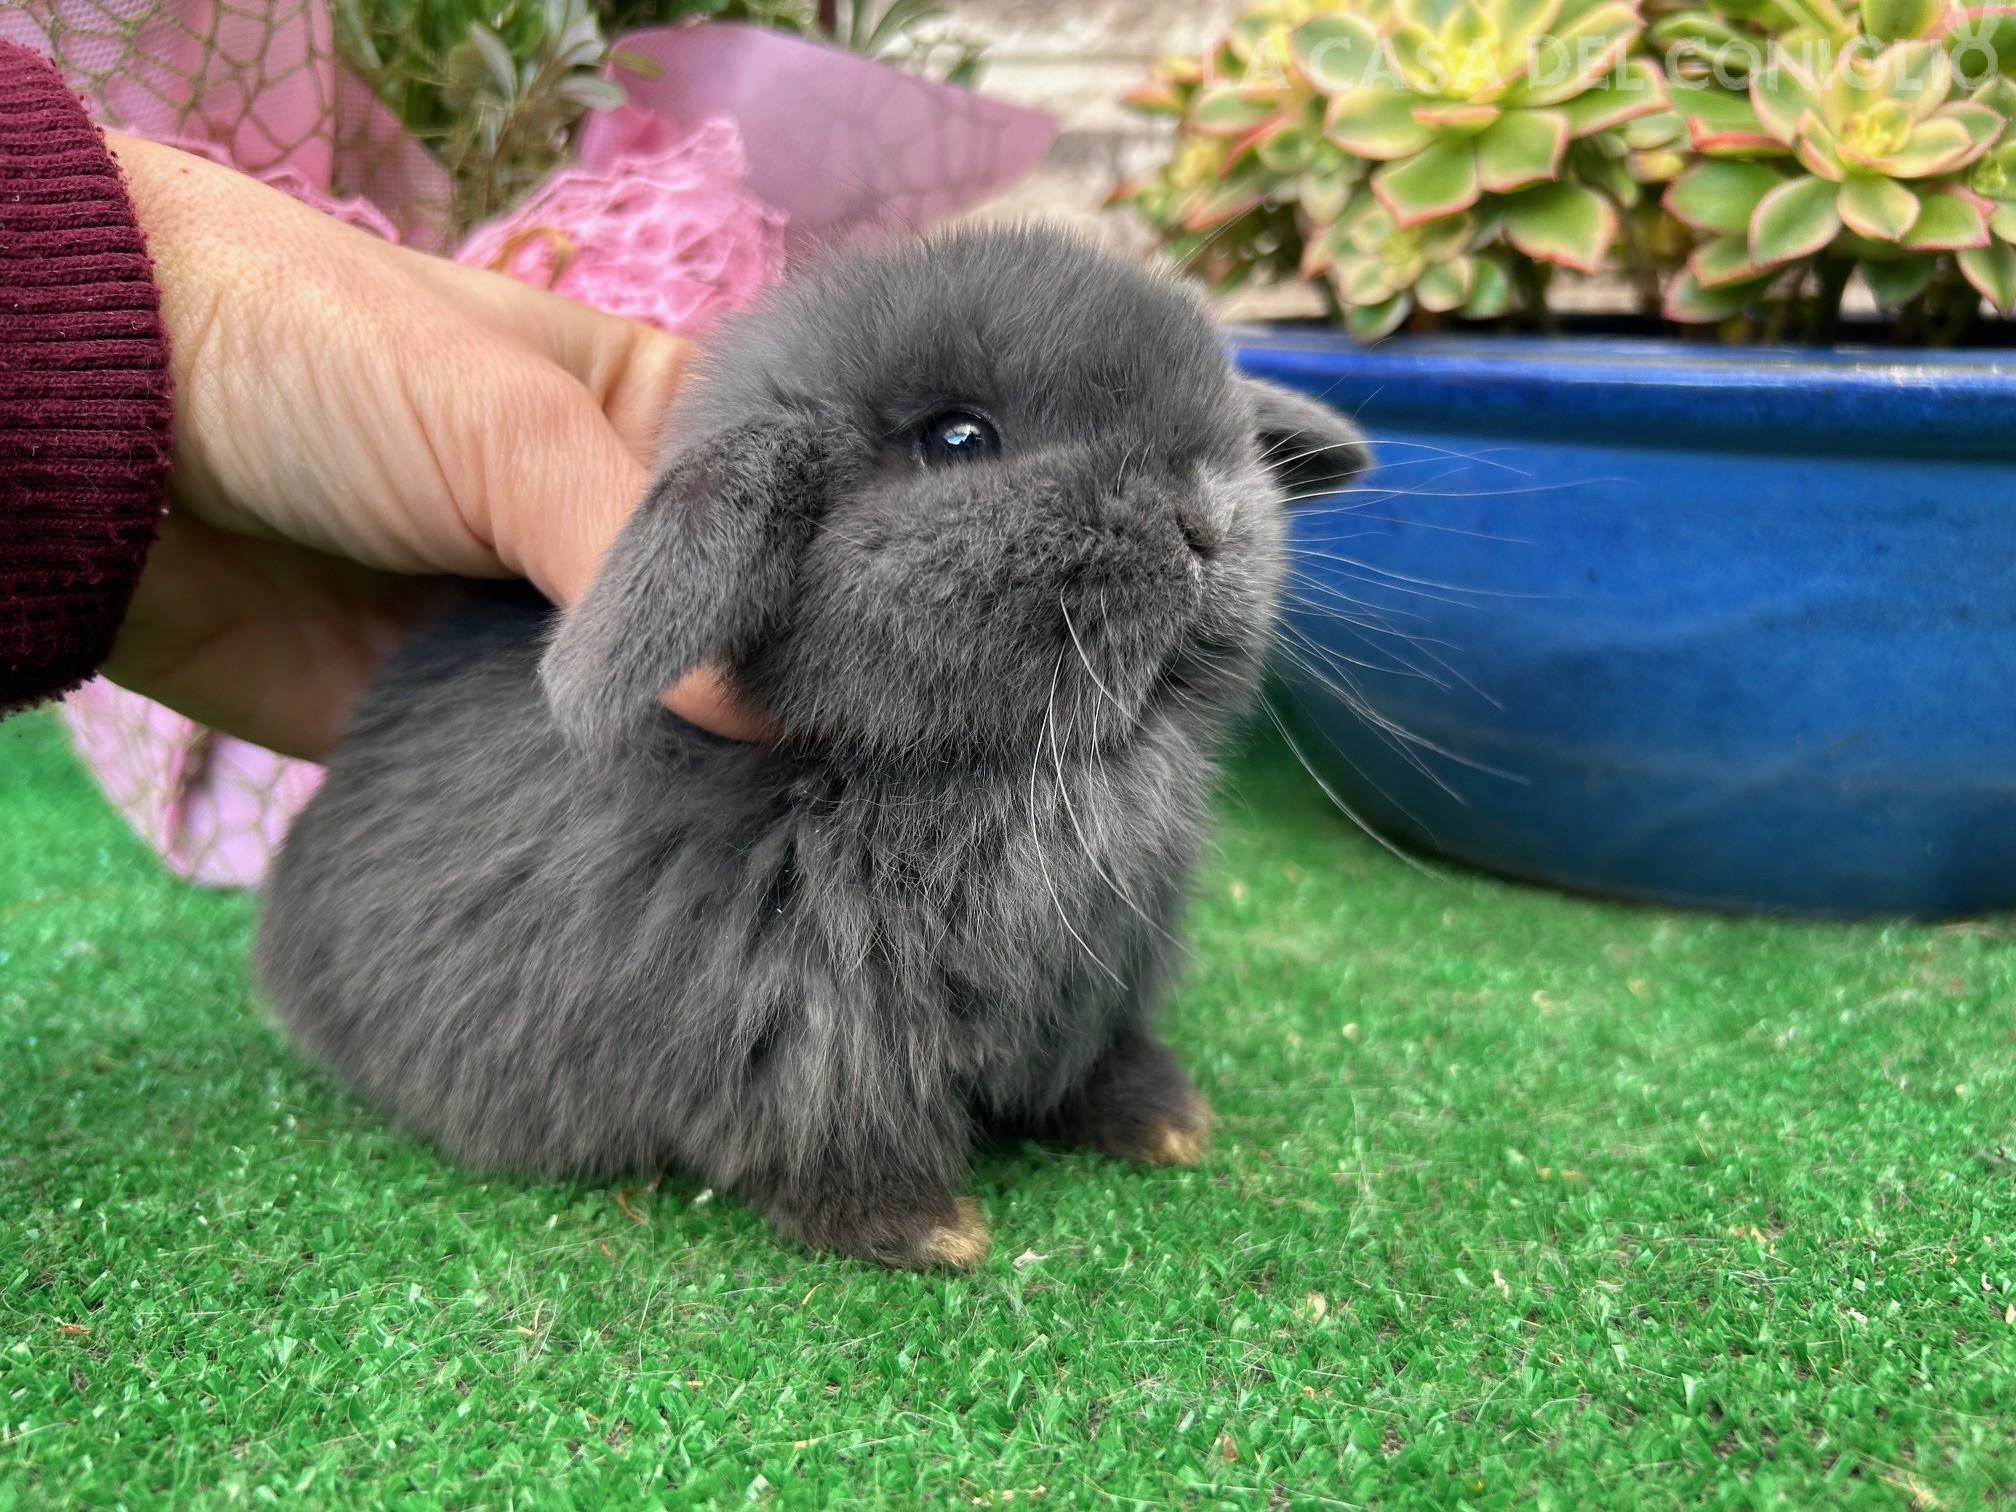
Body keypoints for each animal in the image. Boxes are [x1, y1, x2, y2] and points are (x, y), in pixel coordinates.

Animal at [253, 223, 1369, 1270]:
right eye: (958, 439)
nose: (1205, 518)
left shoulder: (1097, 996)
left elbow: (1102, 1066)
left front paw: (1168, 1123)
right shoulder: (802, 1046)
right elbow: (824, 1143)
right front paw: (926, 1230)